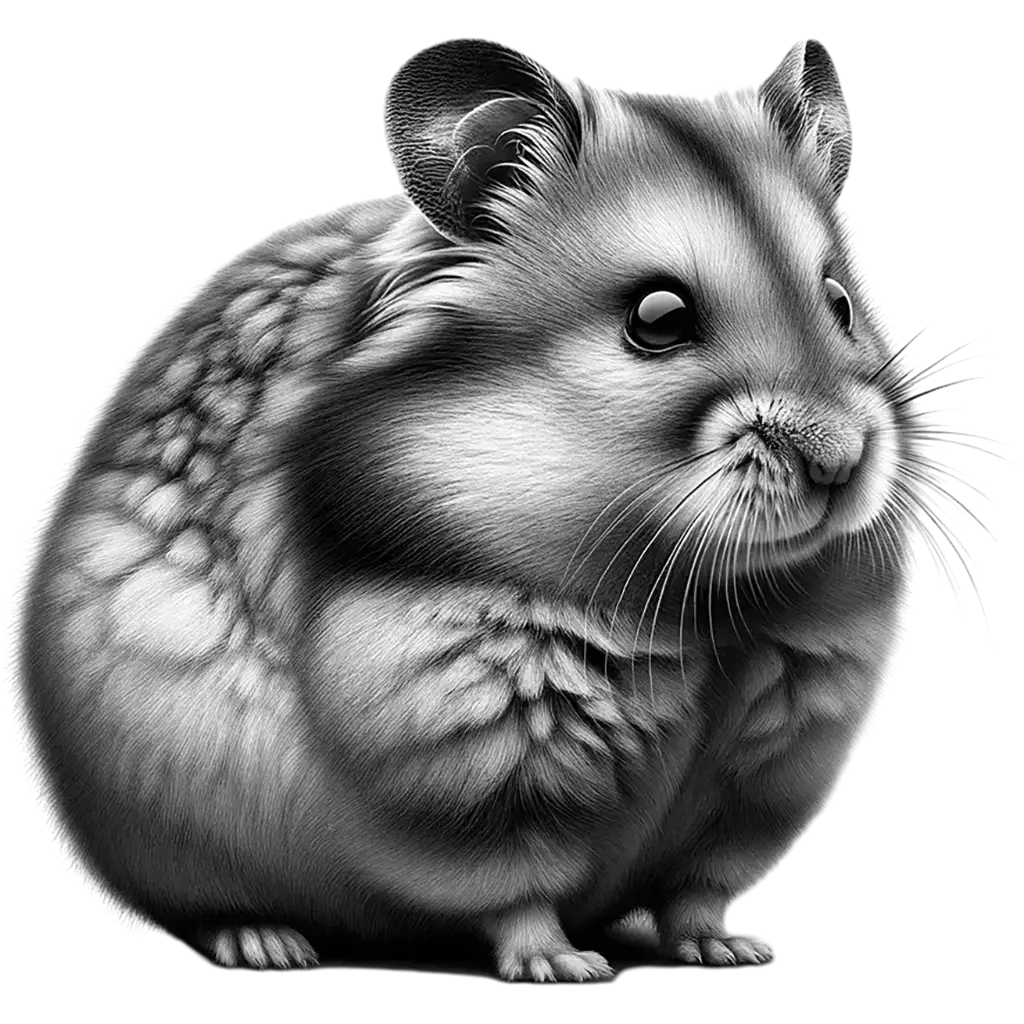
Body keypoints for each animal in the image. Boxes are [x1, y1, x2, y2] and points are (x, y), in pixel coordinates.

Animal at [7, 35, 932, 981]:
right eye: (657, 317)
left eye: (841, 301)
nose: (843, 459)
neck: (712, 601)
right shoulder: (468, 748)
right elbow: (515, 887)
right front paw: (566, 969)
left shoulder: (773, 764)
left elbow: (699, 888)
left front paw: (736, 950)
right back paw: (268, 945)